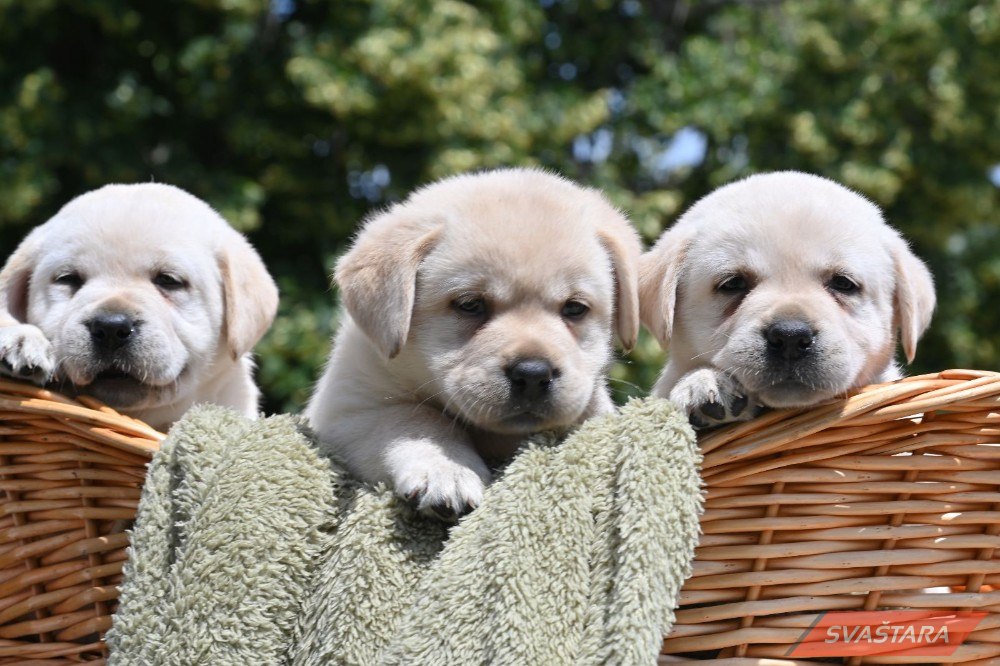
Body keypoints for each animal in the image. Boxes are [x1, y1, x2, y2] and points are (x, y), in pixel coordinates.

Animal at [308, 167, 644, 520]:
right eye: (470, 305)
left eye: (575, 308)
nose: (533, 375)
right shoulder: (346, 413)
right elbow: (415, 416)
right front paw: (447, 471)